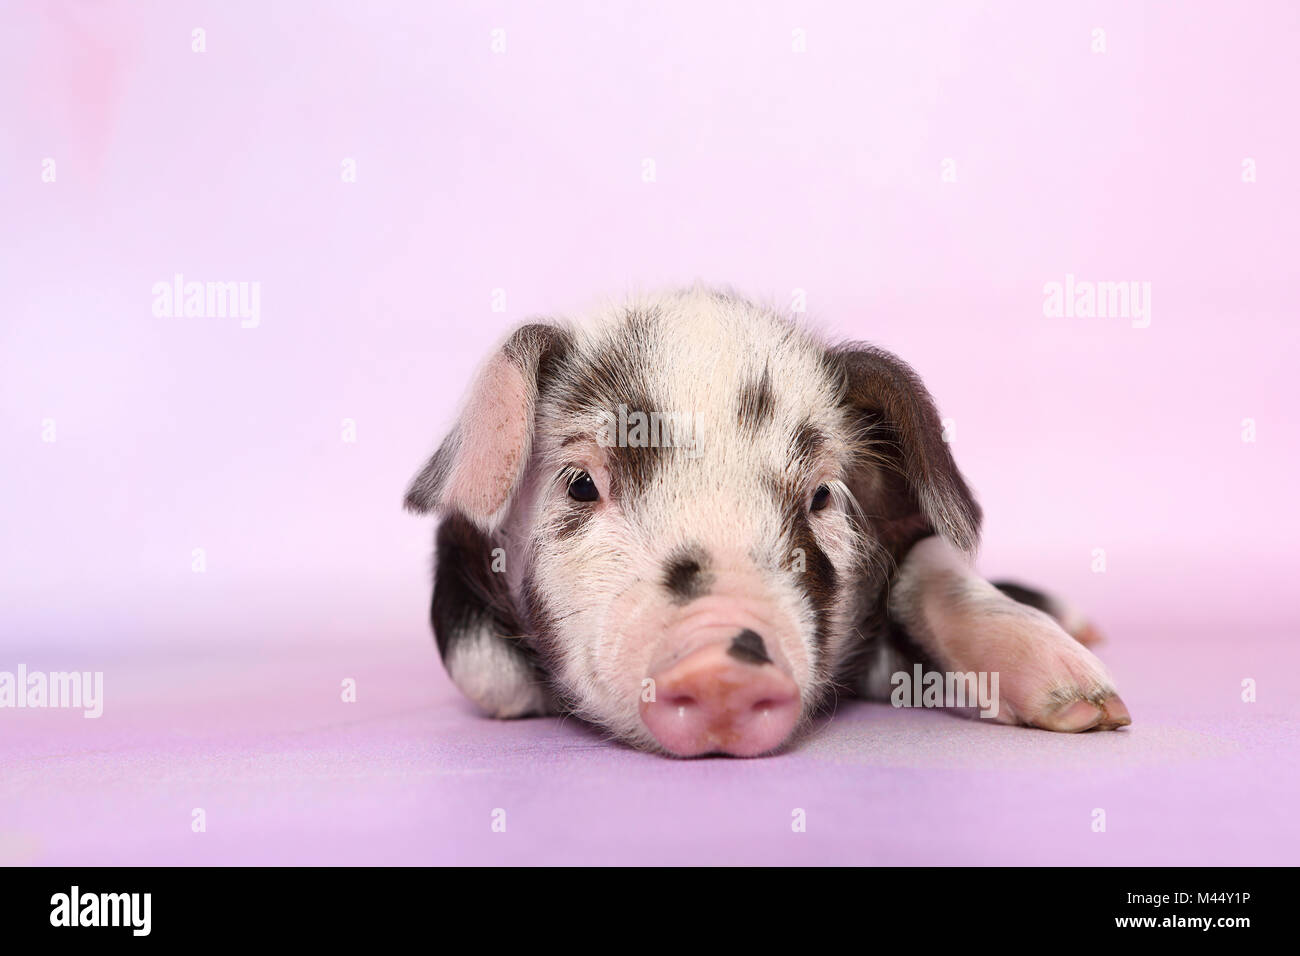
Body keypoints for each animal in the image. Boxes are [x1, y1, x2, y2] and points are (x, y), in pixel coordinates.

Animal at [405, 287, 1130, 757]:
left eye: (822, 497)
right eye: (581, 484)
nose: (721, 661)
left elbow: (934, 569)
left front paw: (1094, 709)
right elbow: (494, 679)